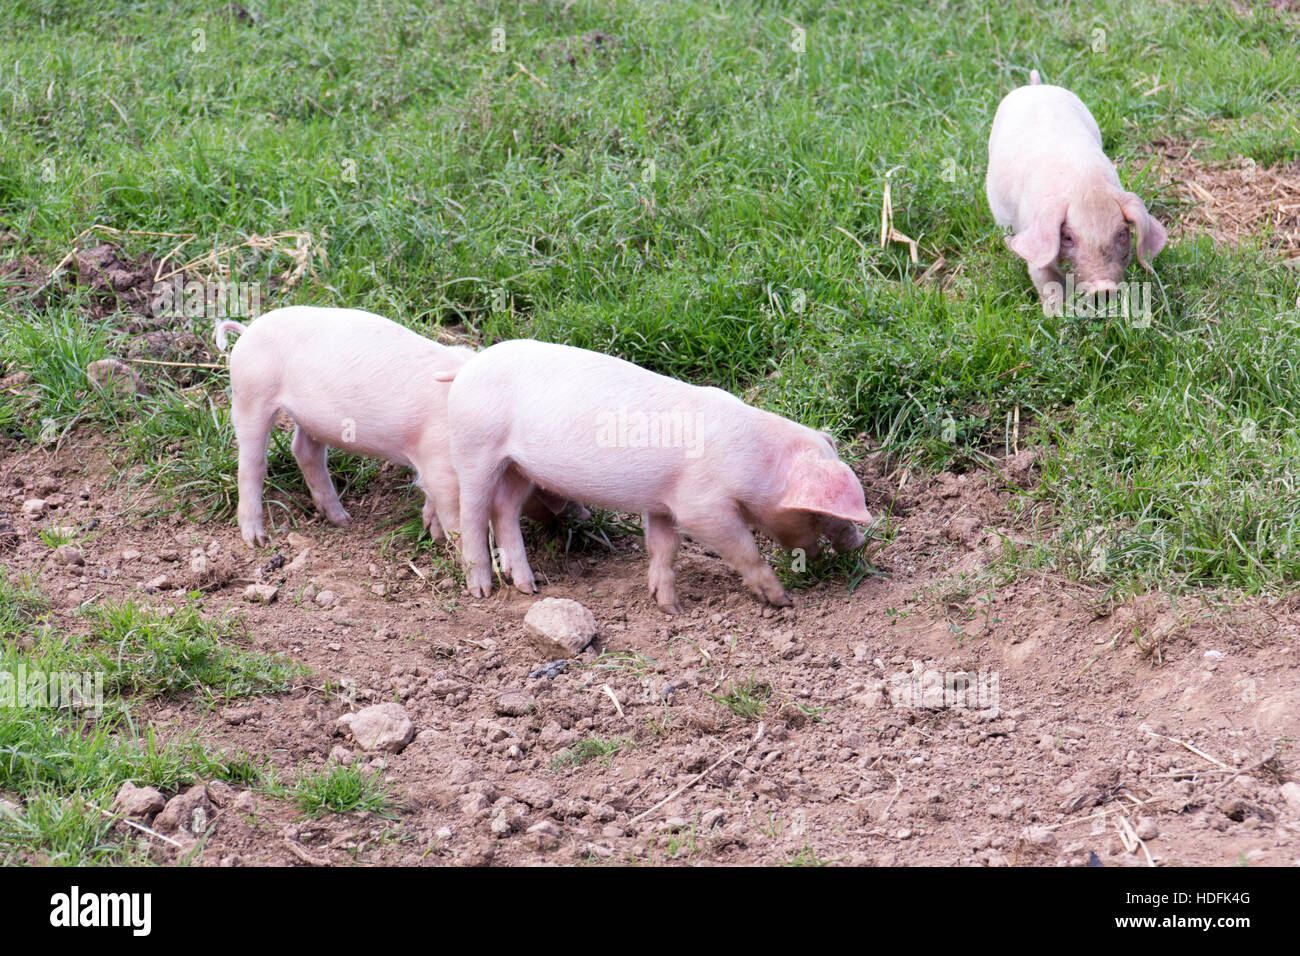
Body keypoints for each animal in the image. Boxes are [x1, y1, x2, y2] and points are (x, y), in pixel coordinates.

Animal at [215, 307, 581, 548]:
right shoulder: (440, 458)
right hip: (250, 393)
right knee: (252, 463)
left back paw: (343, 521)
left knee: (304, 450)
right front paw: (449, 544)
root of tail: (246, 330)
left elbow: (431, 496)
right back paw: (257, 540)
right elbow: (451, 505)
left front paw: (432, 531)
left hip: (312, 418)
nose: (575, 517)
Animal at [446, 339, 873, 614]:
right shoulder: (700, 506)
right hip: (475, 448)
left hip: (519, 468)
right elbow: (743, 549)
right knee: (473, 514)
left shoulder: (663, 504)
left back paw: (528, 587)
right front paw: (782, 601)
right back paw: (481, 591)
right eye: (818, 513)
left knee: (504, 511)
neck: (757, 463)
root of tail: (466, 368)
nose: (860, 541)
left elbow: (664, 548)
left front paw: (670, 608)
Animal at [986, 69, 1167, 309]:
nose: (1104, 287)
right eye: (1067, 237)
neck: (1085, 185)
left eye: (1122, 233)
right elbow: (1047, 284)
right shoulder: (1035, 241)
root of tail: (1036, 86)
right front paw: (1058, 313)